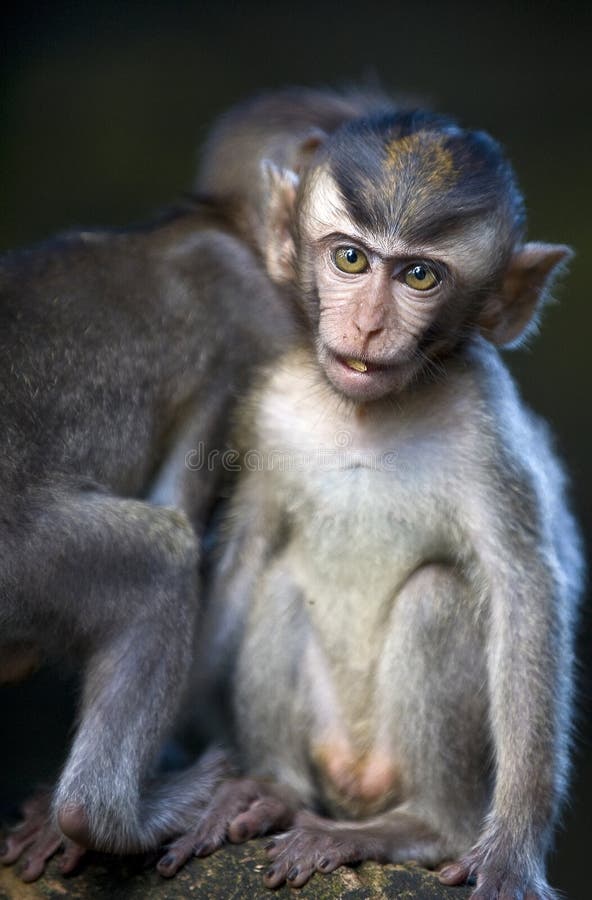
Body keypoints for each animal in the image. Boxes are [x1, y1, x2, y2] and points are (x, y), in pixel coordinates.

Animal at [155, 90, 583, 900]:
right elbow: (242, 560)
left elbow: (523, 592)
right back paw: (269, 793)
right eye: (350, 257)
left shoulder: (485, 420)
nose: (366, 323)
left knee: (436, 596)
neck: (363, 417)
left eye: (419, 275)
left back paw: (412, 829)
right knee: (279, 580)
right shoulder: (266, 405)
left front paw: (514, 850)